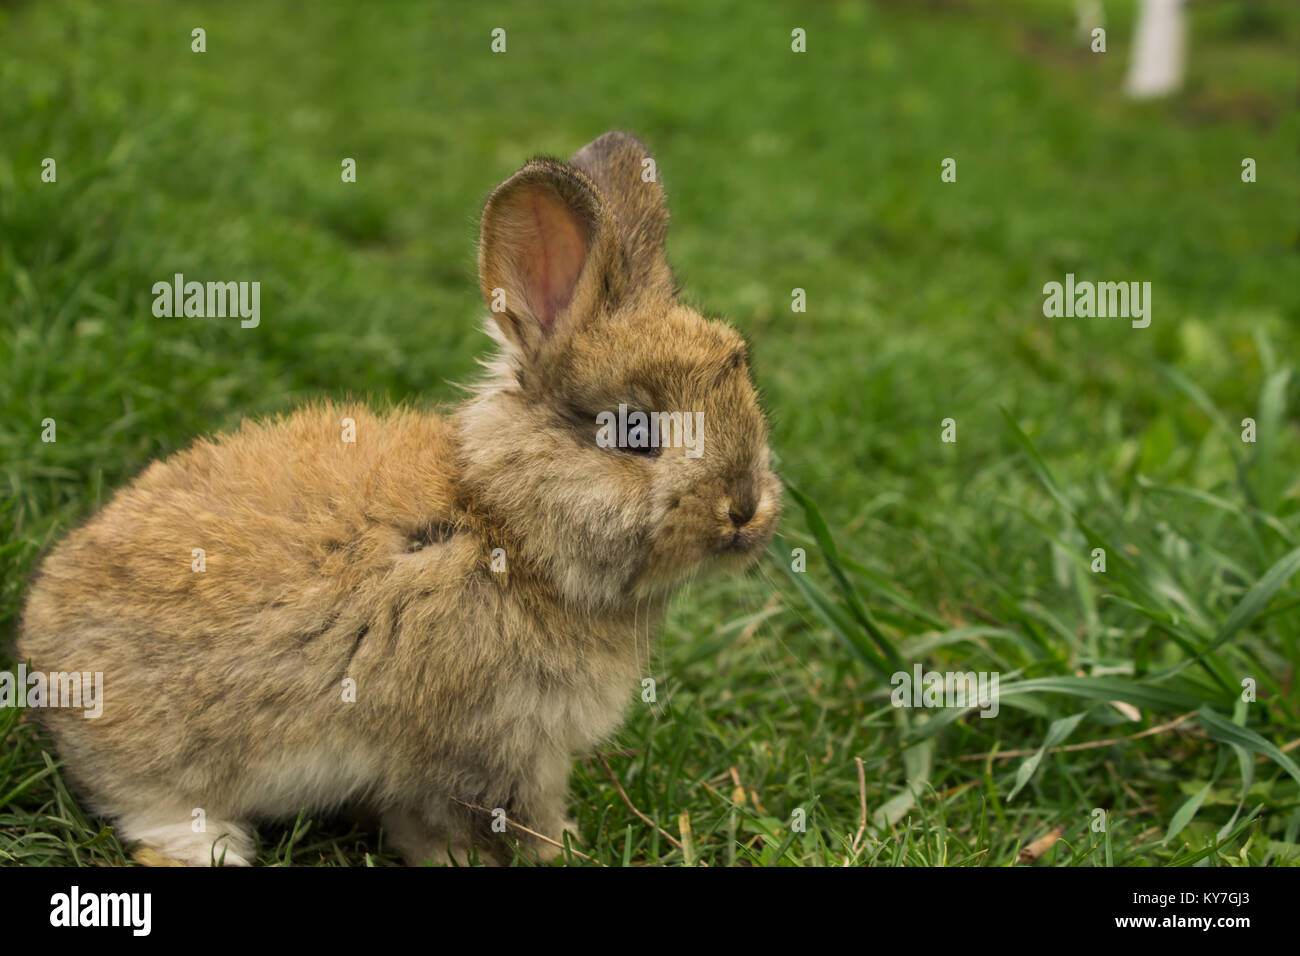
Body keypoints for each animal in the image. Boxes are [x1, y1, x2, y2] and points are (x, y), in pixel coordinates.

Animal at [16, 131, 782, 866]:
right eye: (634, 432)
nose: (745, 507)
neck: (504, 526)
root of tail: (40, 649)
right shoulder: (486, 745)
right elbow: (479, 818)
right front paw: (544, 851)